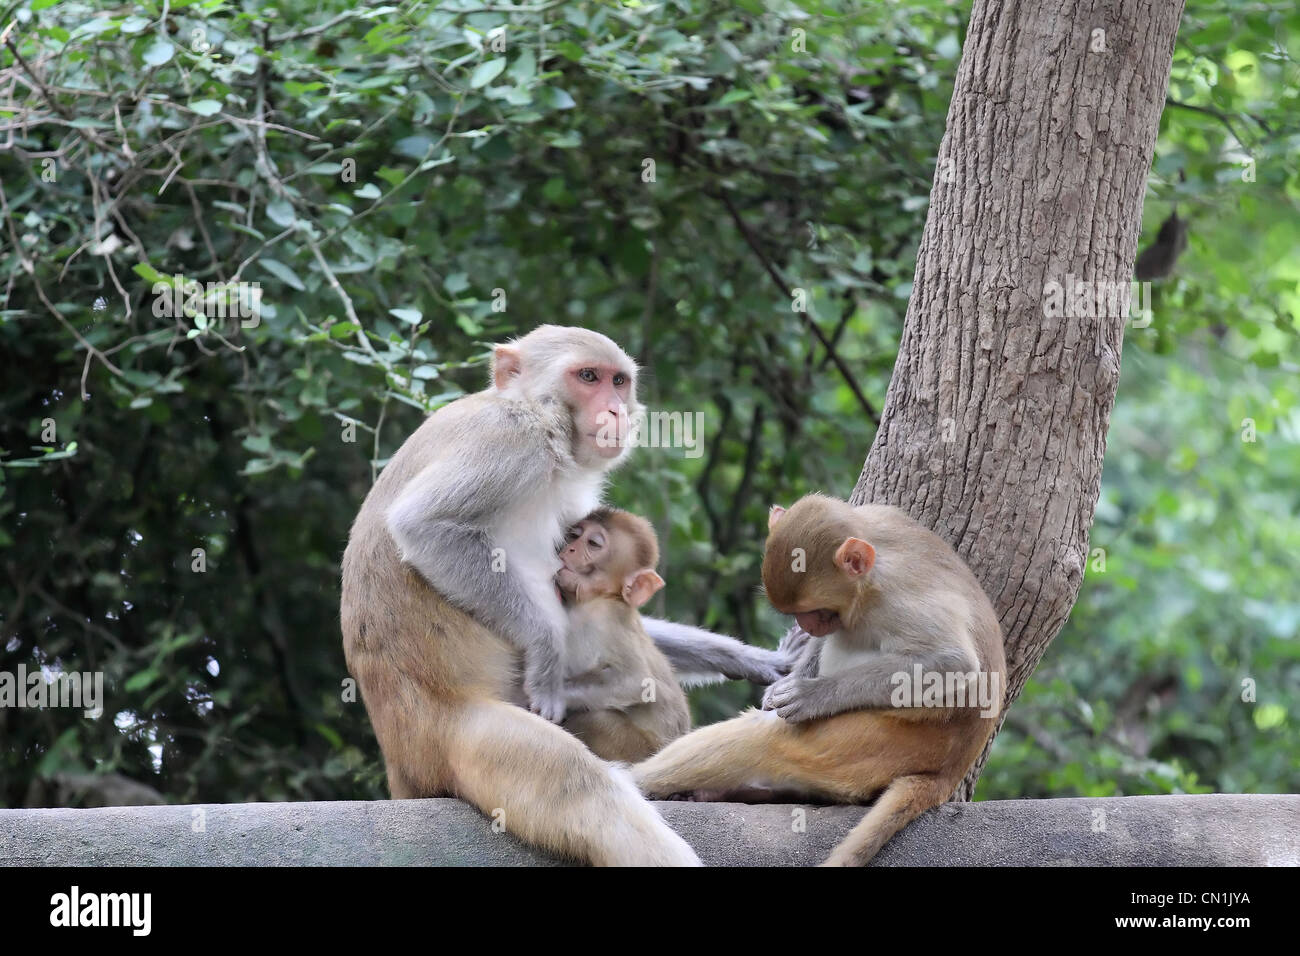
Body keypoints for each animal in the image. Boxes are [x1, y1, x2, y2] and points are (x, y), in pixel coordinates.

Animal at [555, 508, 691, 763]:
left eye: (593, 544)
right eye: (574, 535)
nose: (569, 549)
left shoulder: (608, 621)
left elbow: (635, 681)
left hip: (639, 749)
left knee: (597, 719)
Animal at [631, 493, 1007, 867]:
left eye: (815, 610)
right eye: (799, 613)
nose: (808, 626)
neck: (874, 570)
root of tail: (947, 773)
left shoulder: (899, 597)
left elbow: (952, 662)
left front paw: (810, 694)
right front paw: (783, 681)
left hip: (875, 741)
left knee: (764, 736)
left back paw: (634, 780)